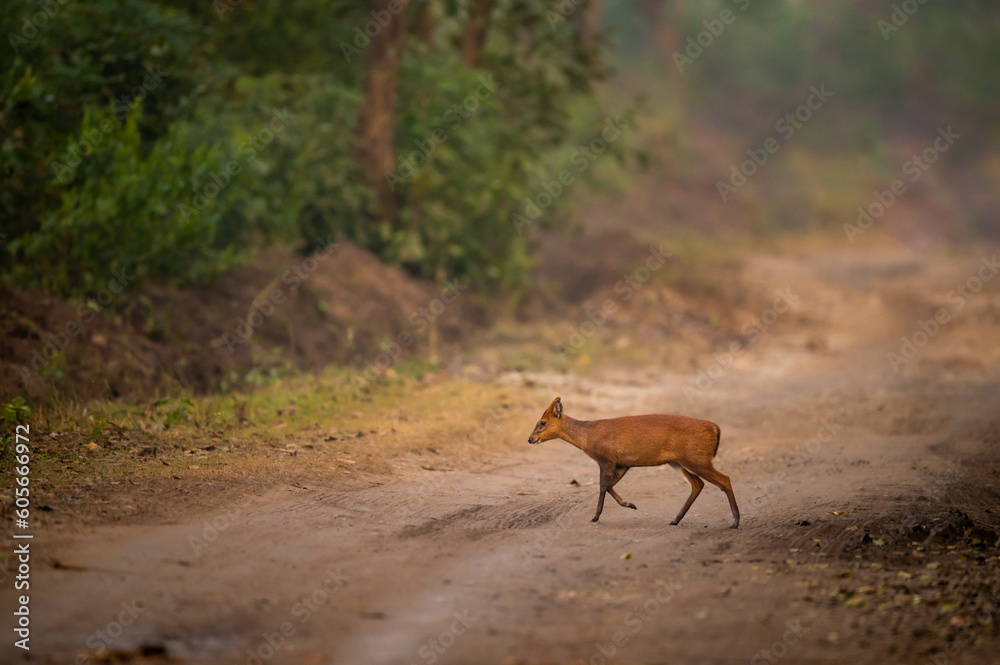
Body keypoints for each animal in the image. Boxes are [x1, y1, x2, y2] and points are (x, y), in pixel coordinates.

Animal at [527, 396, 739, 528]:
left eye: (542, 423)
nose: (530, 439)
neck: (587, 437)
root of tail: (715, 427)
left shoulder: (606, 458)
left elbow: (602, 486)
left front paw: (596, 516)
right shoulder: (623, 463)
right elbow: (609, 485)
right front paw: (630, 504)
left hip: (697, 458)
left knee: (724, 479)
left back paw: (735, 521)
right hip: (678, 460)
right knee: (697, 483)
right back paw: (675, 520)